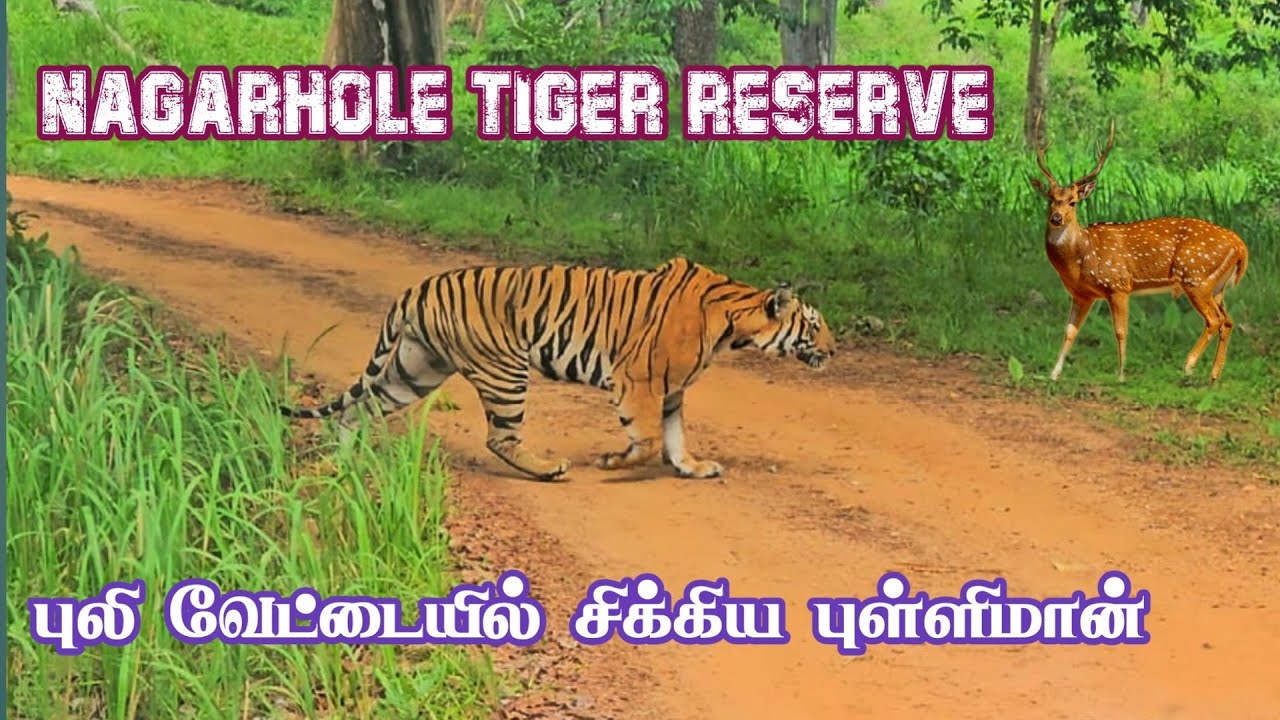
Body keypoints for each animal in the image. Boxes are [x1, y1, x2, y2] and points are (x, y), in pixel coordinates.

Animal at [279, 256, 837, 481]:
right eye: (815, 325)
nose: (834, 351)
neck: (734, 321)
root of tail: (417, 287)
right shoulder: (636, 380)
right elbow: (647, 438)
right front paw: (614, 463)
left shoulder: (673, 390)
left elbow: (675, 436)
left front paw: (691, 468)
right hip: (504, 371)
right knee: (500, 437)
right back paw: (549, 470)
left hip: (416, 368)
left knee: (358, 409)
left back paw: (339, 459)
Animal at [1028, 119, 1250, 385]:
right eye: (1050, 199)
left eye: (1073, 201)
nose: (1056, 218)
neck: (1080, 259)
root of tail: (1240, 245)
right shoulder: (1082, 295)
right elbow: (1070, 331)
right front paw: (1054, 373)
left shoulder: (1118, 284)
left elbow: (1120, 331)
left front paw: (1122, 374)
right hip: (1216, 286)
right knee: (1227, 321)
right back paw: (1213, 376)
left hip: (1196, 277)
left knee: (1214, 320)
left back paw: (1188, 365)